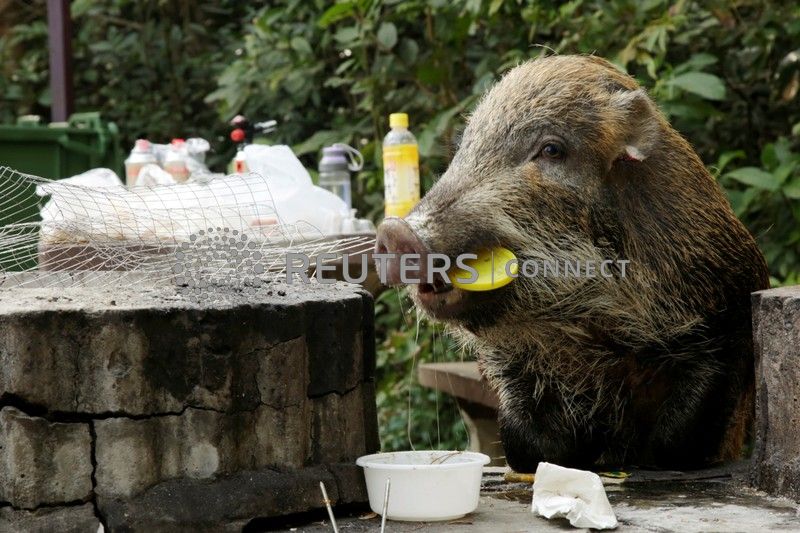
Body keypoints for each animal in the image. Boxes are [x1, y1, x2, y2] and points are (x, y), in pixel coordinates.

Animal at [374, 55, 769, 471]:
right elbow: (525, 442)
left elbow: (675, 442)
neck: (587, 333)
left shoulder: (726, 315)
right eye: (465, 150)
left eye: (551, 150)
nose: (394, 231)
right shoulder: (509, 365)